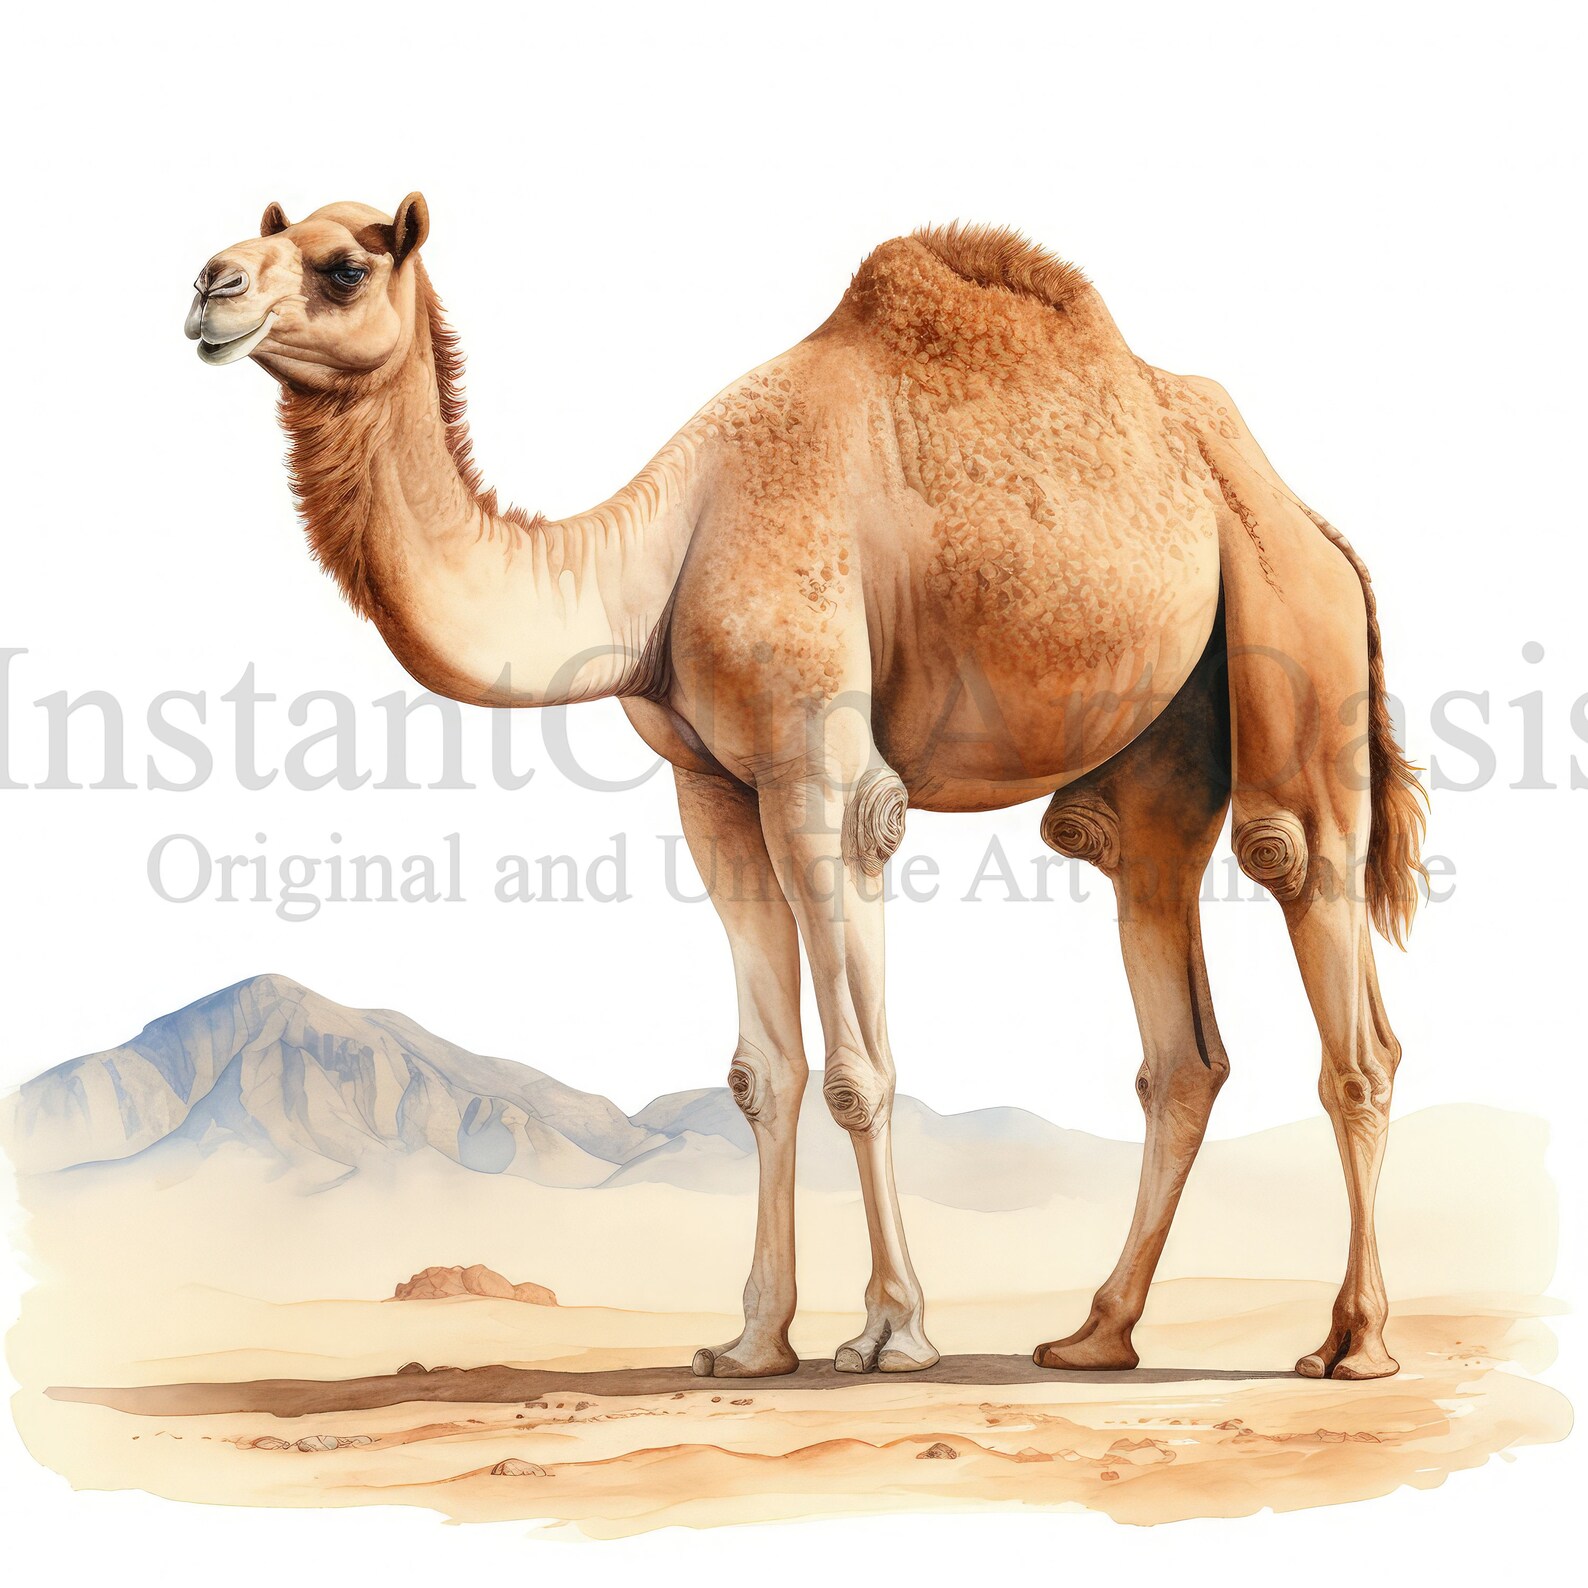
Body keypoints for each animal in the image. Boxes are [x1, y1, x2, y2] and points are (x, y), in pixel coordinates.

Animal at [186, 196, 1427, 1382]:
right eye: (268, 235)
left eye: (345, 264)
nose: (209, 286)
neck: (655, 563)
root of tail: (1319, 526)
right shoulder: (712, 789)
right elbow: (763, 1073)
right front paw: (750, 1341)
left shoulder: (821, 773)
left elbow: (856, 1072)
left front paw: (890, 1333)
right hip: (1162, 739)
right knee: (1171, 998)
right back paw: (1093, 1335)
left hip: (1291, 625)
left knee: (1314, 917)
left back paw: (1352, 1344)